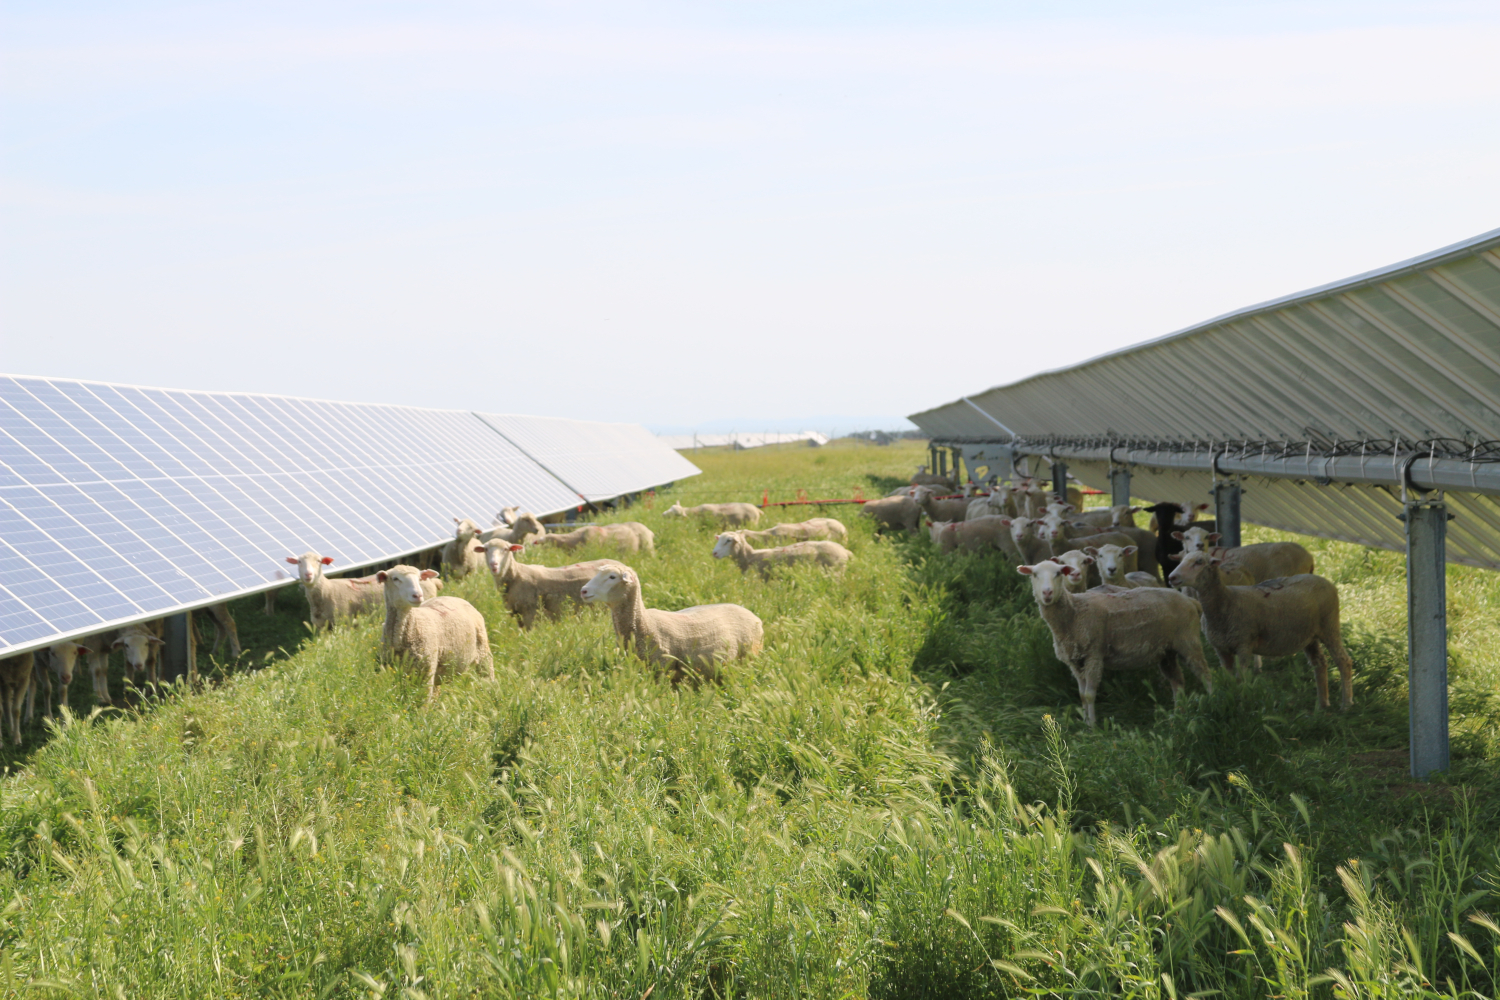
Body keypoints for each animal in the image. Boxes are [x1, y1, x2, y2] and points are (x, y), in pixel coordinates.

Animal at [376, 565, 493, 702]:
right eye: (395, 579)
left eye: (419, 578)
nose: (418, 595)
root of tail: (455, 598)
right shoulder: (396, 672)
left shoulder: (426, 670)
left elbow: (423, 701)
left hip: (483, 652)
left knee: (488, 675)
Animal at [475, 539, 613, 628]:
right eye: (486, 550)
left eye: (505, 549)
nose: (494, 565)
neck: (516, 575)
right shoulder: (518, 613)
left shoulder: (529, 612)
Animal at [580, 562, 762, 683]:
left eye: (612, 577)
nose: (583, 591)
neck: (645, 622)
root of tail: (755, 616)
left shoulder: (662, 667)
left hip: (749, 656)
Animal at [1017, 559, 1211, 726]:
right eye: (1034, 574)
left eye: (1058, 573)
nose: (1047, 593)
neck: (1074, 613)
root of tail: (1191, 601)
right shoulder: (1075, 660)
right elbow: (1081, 695)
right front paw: (1086, 724)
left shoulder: (1094, 655)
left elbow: (1089, 695)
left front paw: (1093, 727)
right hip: (1167, 650)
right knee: (1177, 681)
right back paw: (1179, 714)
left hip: (1188, 640)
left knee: (1205, 673)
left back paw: (1213, 700)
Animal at [1168, 550, 1353, 709]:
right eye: (1181, 559)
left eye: (1199, 562)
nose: (1172, 577)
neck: (1226, 601)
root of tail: (1325, 580)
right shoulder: (1220, 648)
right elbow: (1229, 679)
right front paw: (1232, 700)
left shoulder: (1243, 645)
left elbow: (1241, 679)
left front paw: (1242, 705)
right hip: (1310, 636)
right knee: (1320, 663)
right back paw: (1322, 705)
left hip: (1329, 626)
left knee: (1343, 660)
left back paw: (1346, 704)